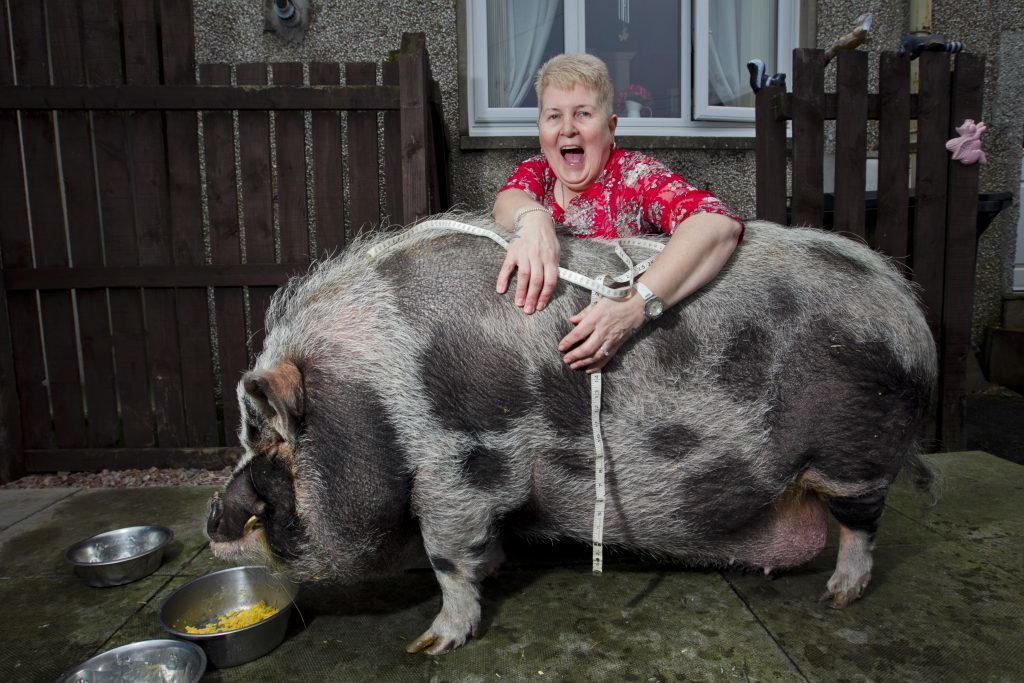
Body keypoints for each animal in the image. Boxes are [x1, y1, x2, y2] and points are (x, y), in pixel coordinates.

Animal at [206, 216, 937, 655]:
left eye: (269, 441)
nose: (212, 520)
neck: (374, 394)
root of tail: (912, 315)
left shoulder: (462, 468)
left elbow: (448, 557)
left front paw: (432, 645)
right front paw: (496, 569)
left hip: (856, 453)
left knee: (862, 525)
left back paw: (837, 597)